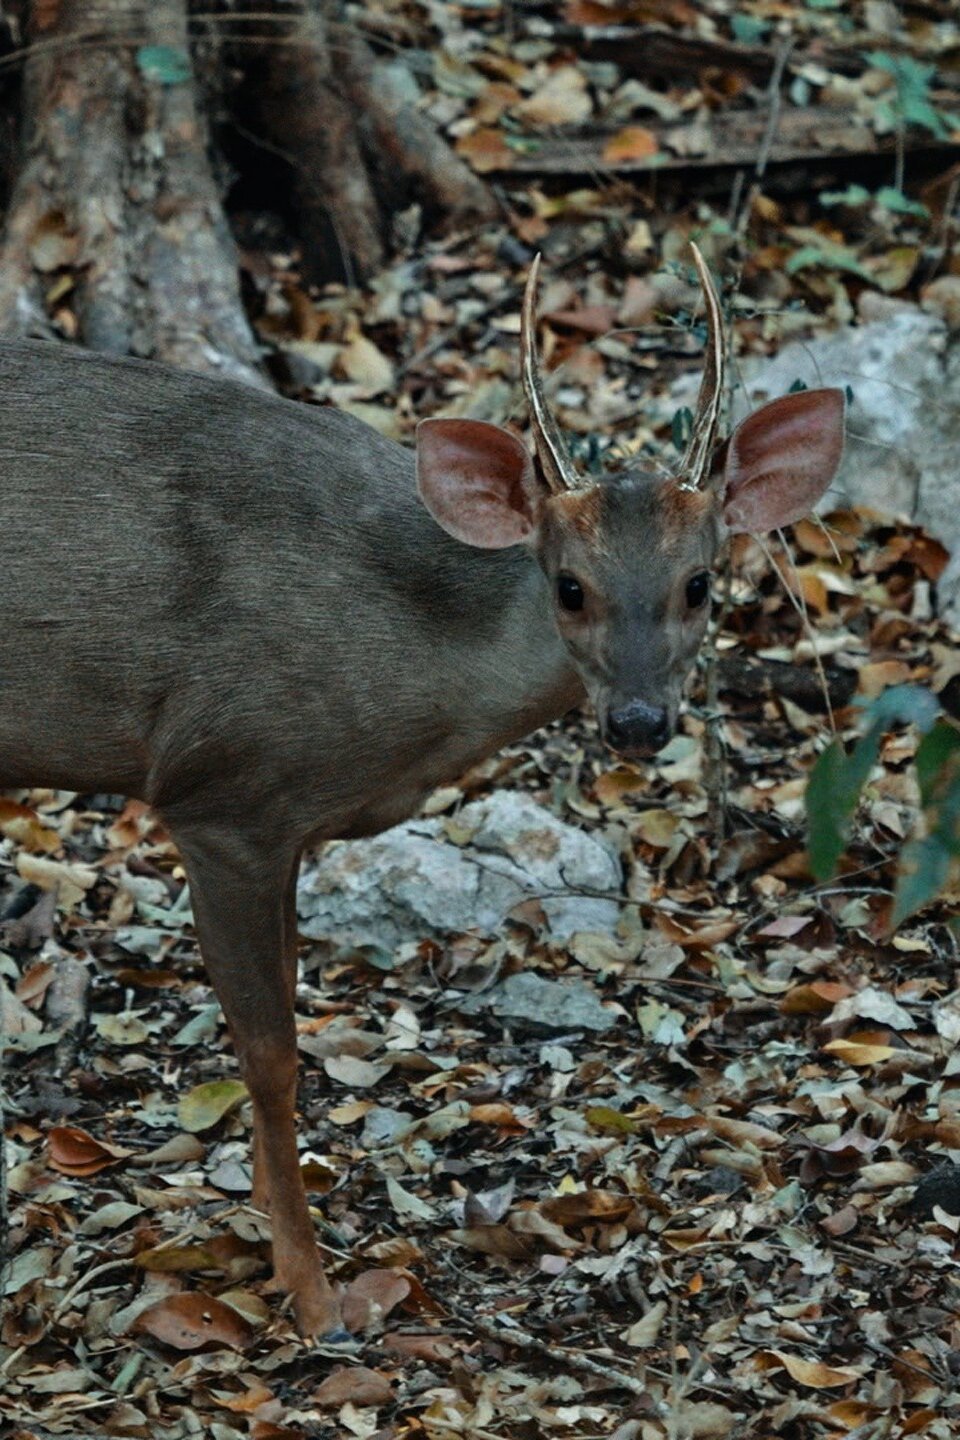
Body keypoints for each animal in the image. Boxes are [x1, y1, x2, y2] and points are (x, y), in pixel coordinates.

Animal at [0, 248, 845, 1337]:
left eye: (699, 584)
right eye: (569, 586)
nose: (637, 721)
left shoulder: (287, 826)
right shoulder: (222, 790)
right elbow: (270, 1055)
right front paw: (317, 1296)